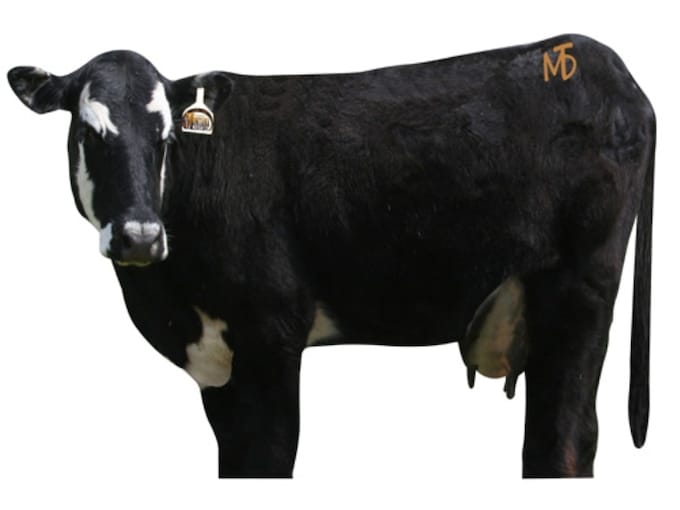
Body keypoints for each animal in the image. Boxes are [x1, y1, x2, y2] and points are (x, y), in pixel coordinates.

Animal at [7, 34, 655, 478]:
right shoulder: (222, 367)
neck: (175, 307)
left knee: (565, 440)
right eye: (89, 133)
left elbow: (265, 460)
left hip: (581, 292)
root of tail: (601, 61)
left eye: (167, 139)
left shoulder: (271, 337)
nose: (140, 236)